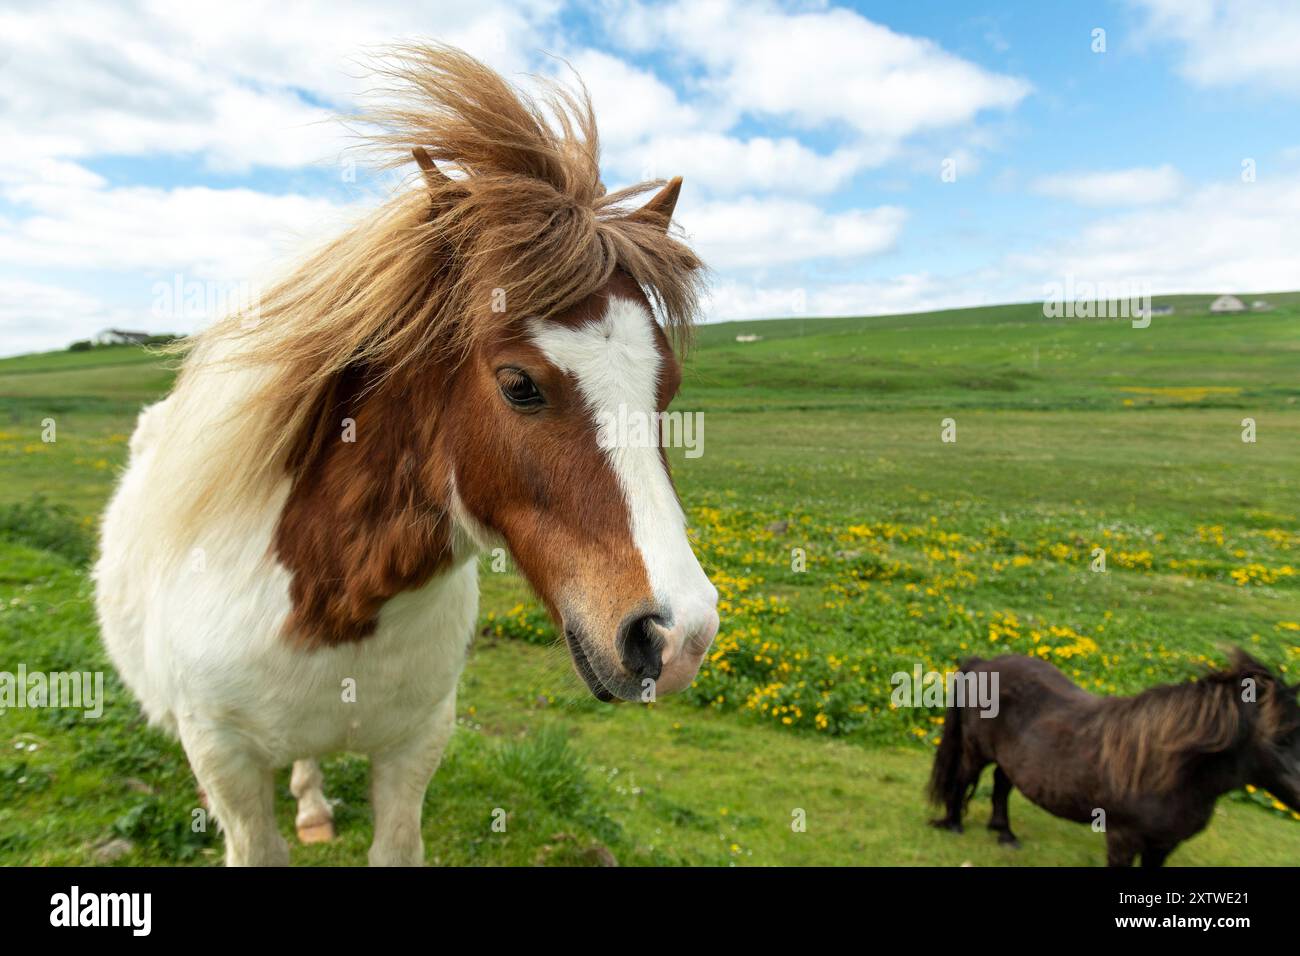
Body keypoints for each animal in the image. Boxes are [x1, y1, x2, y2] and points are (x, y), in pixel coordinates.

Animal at [93, 45, 720, 866]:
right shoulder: (226, 762)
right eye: (519, 384)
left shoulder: (415, 745)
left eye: (666, 387)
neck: (332, 607)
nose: (679, 637)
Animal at [927, 650, 1300, 866]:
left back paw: (1005, 834)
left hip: (1011, 760)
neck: (1170, 770)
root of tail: (984, 663)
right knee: (963, 778)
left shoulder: (1163, 845)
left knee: (1002, 785)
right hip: (975, 751)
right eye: (1282, 737)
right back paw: (955, 824)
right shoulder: (1123, 838)